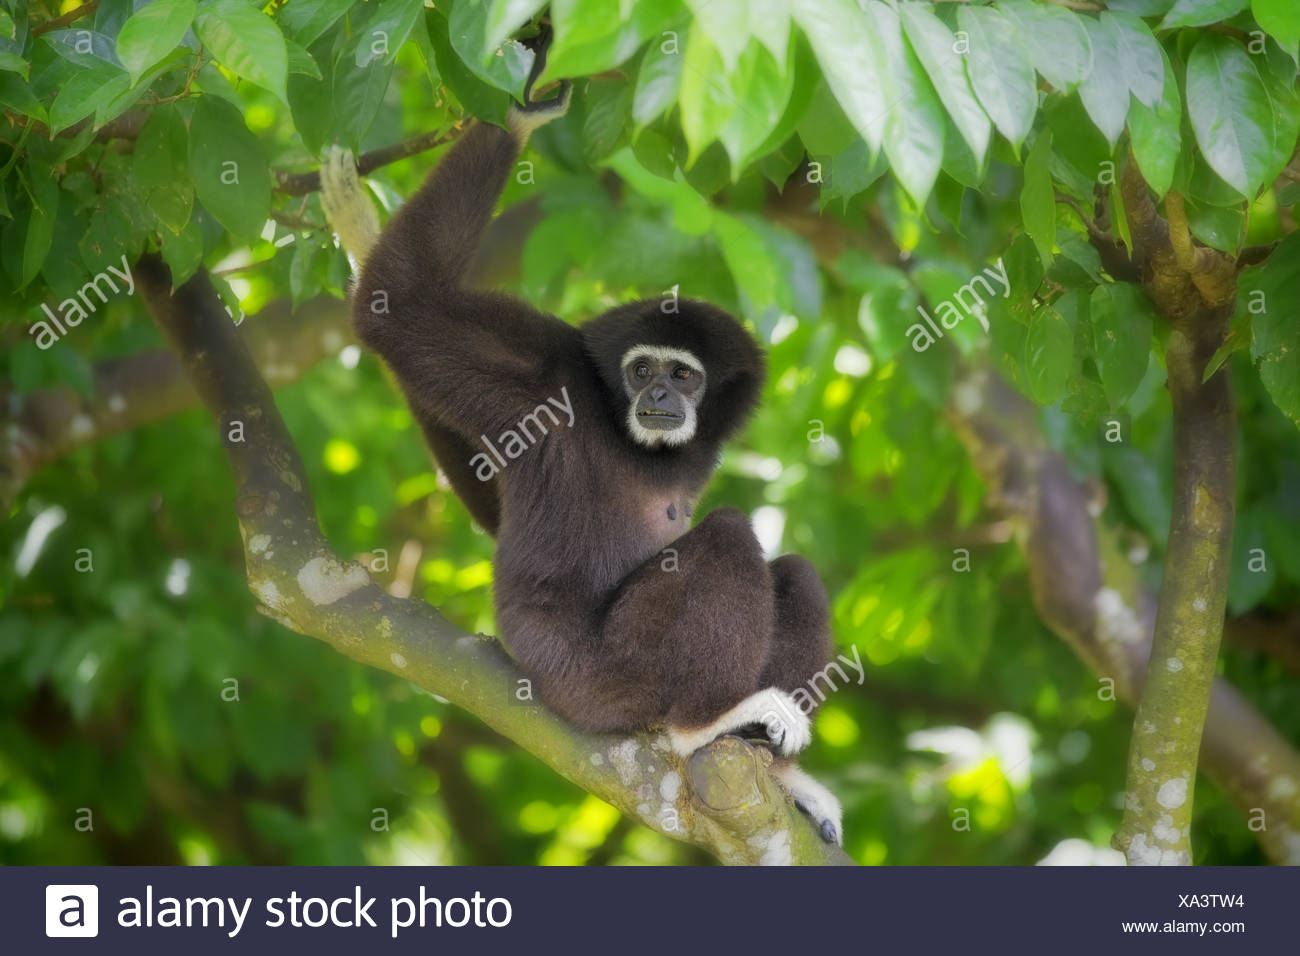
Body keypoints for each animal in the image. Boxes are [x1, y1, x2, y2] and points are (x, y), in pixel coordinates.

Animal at [320, 39, 843, 844]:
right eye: (642, 370)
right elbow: (398, 308)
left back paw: (774, 772)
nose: (658, 399)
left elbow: (487, 500)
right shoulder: (545, 376)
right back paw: (702, 725)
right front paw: (523, 104)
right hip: (604, 680)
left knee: (796, 572)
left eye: (684, 377)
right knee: (728, 537)